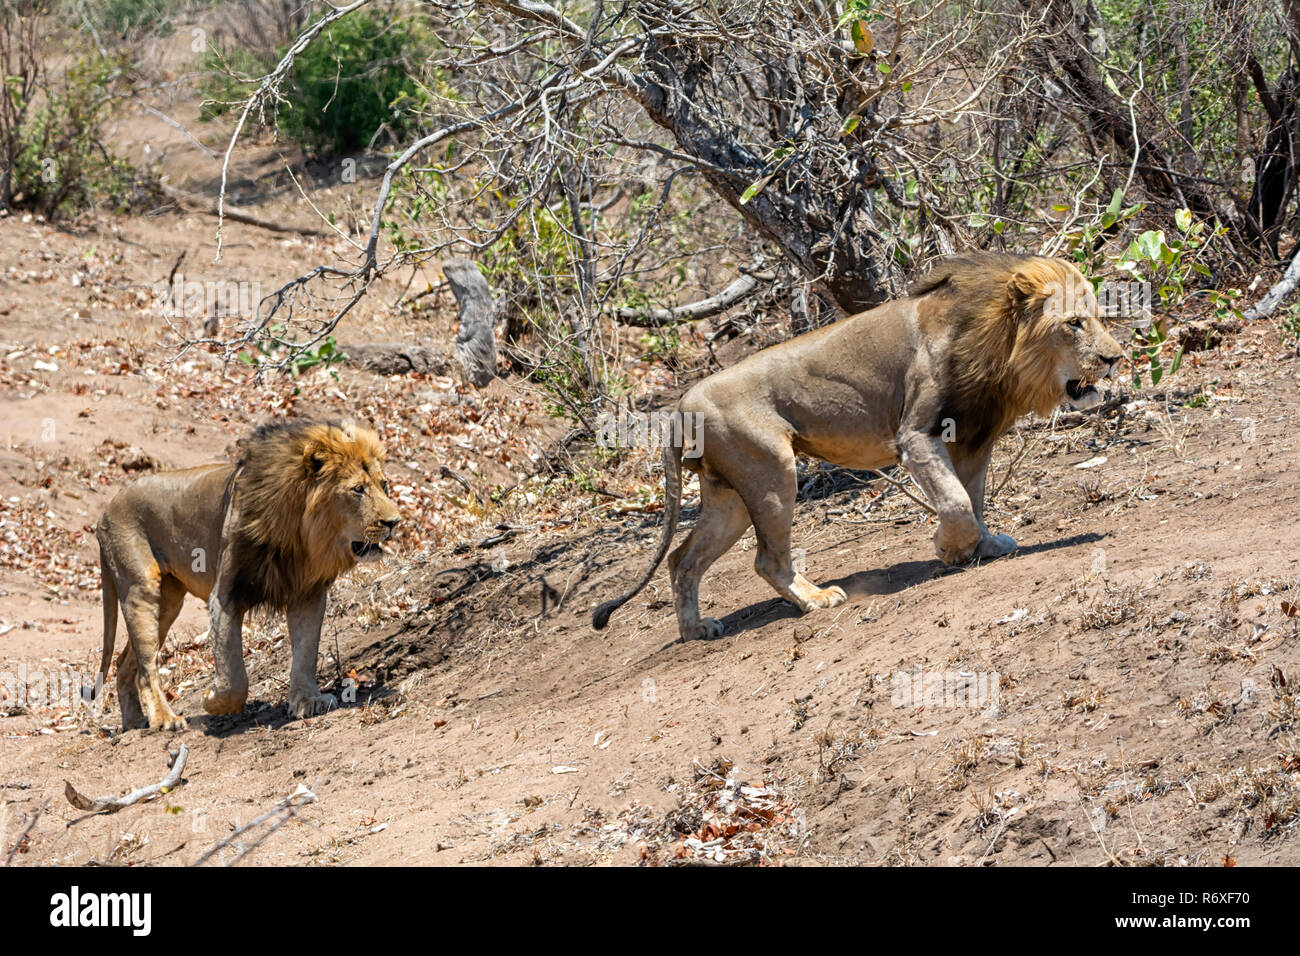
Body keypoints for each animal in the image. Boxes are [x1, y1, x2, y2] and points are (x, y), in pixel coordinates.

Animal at [95, 420, 400, 730]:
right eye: (358, 489)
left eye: (384, 484)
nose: (394, 522)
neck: (301, 536)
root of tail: (105, 512)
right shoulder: (226, 594)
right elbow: (234, 675)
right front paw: (212, 701)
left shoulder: (307, 593)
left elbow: (306, 652)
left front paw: (308, 700)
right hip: (141, 589)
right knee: (146, 666)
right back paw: (165, 718)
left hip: (169, 601)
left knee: (124, 663)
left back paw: (134, 723)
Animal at [593, 253, 1124, 642]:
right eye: (1074, 323)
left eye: (1097, 318)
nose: (1116, 358)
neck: (999, 347)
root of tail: (681, 404)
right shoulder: (917, 434)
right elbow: (955, 501)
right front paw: (950, 549)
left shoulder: (975, 435)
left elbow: (973, 500)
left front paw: (983, 546)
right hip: (772, 471)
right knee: (766, 559)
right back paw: (814, 599)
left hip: (730, 498)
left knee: (682, 560)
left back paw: (695, 630)